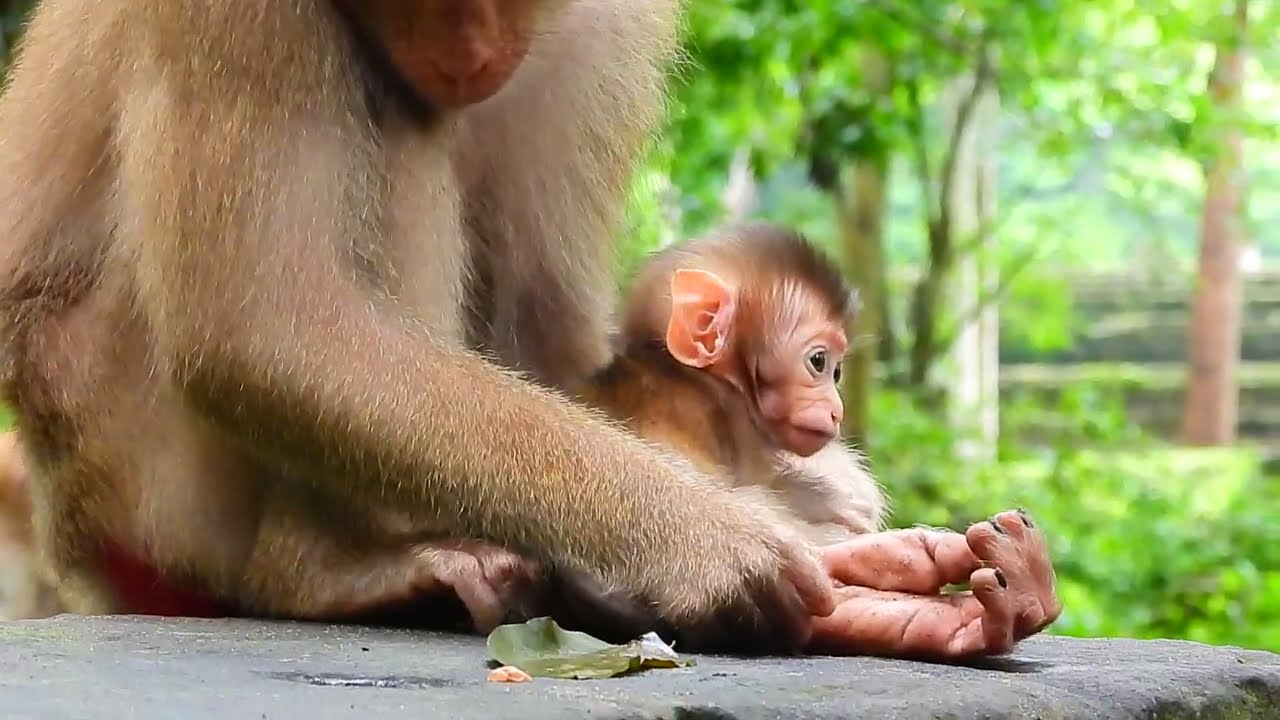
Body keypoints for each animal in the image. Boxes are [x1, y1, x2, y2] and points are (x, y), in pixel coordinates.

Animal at [0, 0, 841, 653]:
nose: (466, 54)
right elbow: (257, 332)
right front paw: (709, 543)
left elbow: (548, 313)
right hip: (133, 461)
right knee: (401, 119)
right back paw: (325, 571)